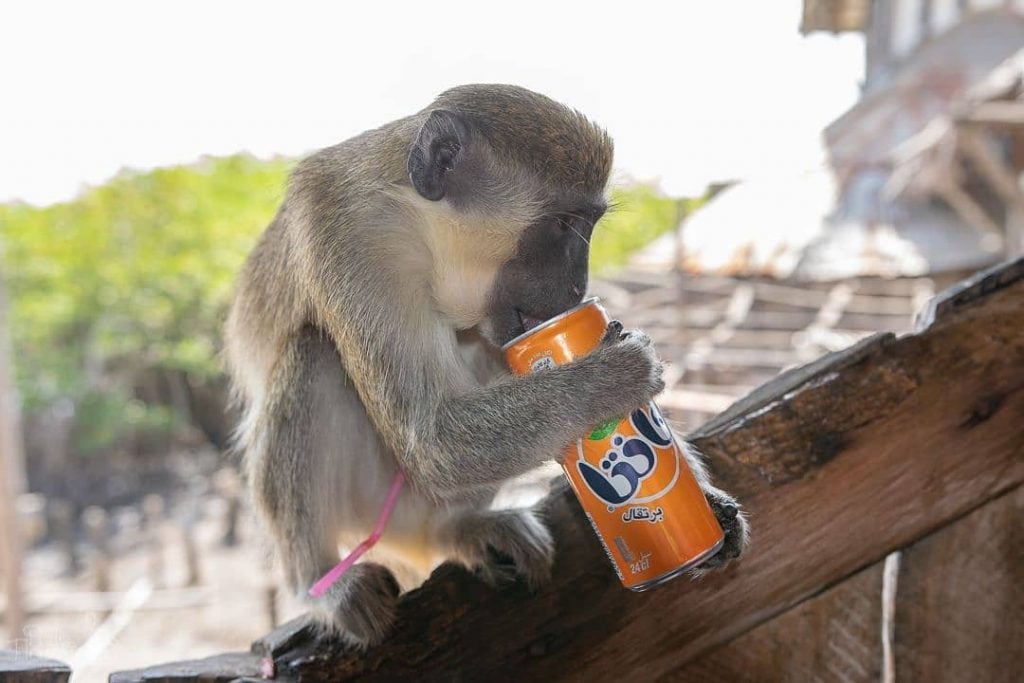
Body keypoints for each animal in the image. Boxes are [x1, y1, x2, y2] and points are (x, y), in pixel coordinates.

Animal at [224, 84, 748, 648]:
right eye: (562, 224)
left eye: (589, 224)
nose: (578, 289)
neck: (417, 220)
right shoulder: (353, 241)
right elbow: (432, 442)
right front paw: (615, 379)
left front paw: (707, 500)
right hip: (377, 506)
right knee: (312, 353)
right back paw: (317, 585)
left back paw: (461, 527)